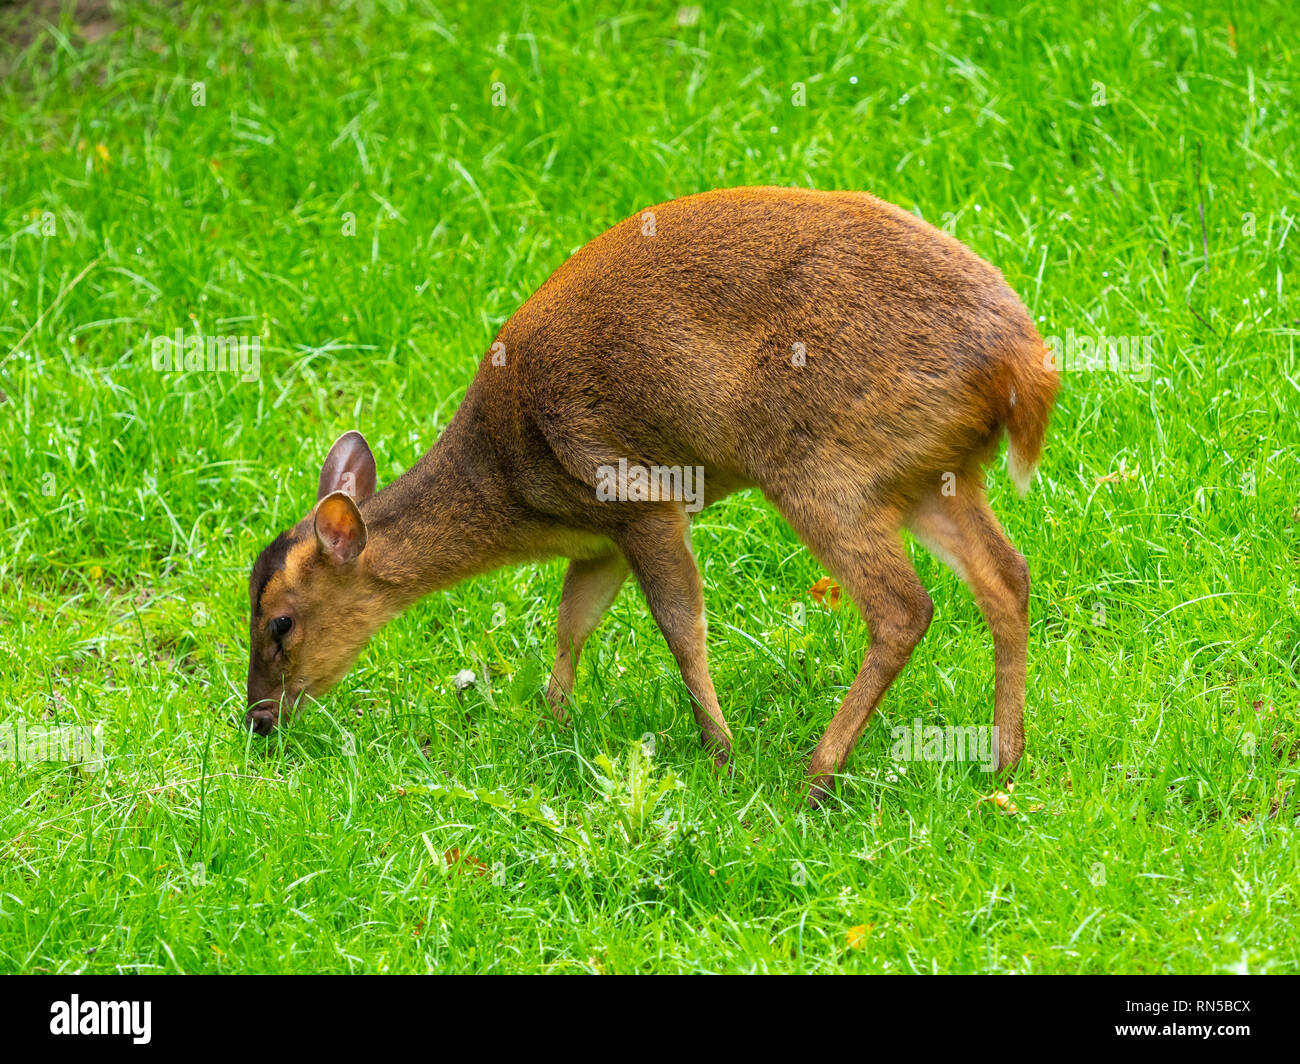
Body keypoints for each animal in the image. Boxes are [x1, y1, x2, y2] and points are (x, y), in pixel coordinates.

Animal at [246, 186, 1058, 807]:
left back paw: (817, 777)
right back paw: (1003, 762)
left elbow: (678, 625)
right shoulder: (598, 539)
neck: (516, 488)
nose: (258, 720)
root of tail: (1026, 367)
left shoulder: (639, 499)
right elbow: (572, 623)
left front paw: (720, 754)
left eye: (280, 623)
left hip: (820, 463)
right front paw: (550, 727)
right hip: (927, 472)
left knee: (902, 607)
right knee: (1006, 573)